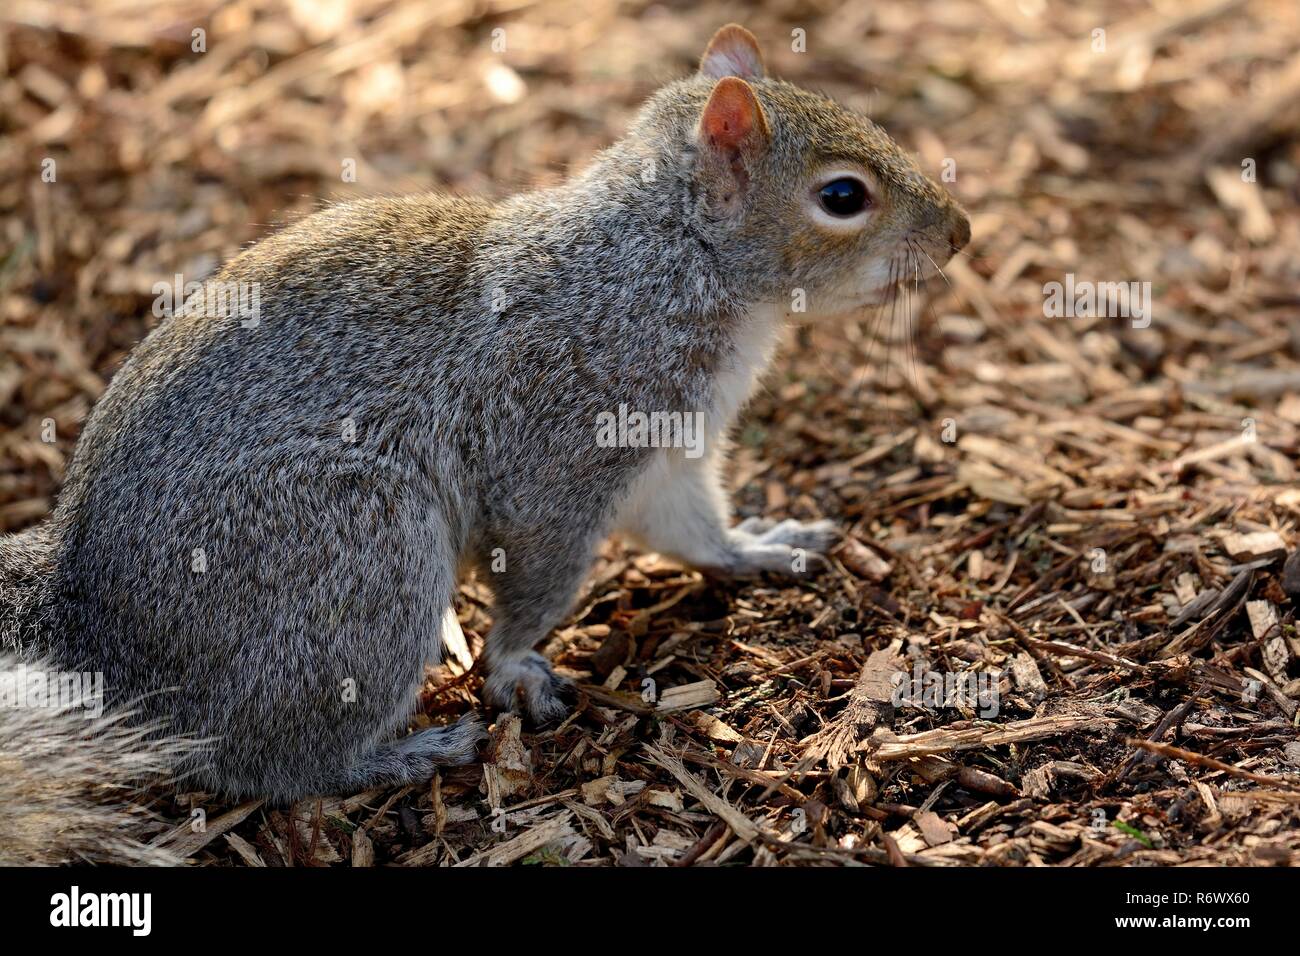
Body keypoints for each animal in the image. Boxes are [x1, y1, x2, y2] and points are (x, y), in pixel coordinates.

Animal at [0, 25, 967, 863]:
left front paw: (761, 547)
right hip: (353, 548)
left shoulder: (666, 455)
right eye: (842, 196)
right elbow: (538, 567)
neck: (672, 257)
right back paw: (409, 752)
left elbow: (693, 530)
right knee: (271, 763)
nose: (959, 232)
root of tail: (93, 616)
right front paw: (513, 667)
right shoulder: (564, 440)